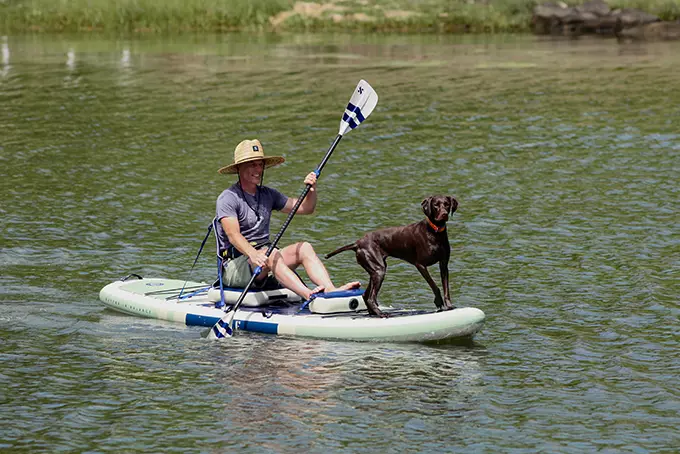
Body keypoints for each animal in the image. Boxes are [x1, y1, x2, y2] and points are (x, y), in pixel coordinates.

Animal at [326, 193, 460, 318]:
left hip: (375, 271)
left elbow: (446, 288)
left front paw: (449, 306)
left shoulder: (444, 265)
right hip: (379, 270)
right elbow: (434, 286)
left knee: (365, 295)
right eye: (436, 205)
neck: (435, 232)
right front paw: (438, 302)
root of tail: (357, 243)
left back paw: (373, 313)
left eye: (447, 204)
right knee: (370, 297)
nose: (444, 214)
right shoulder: (420, 265)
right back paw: (381, 314)